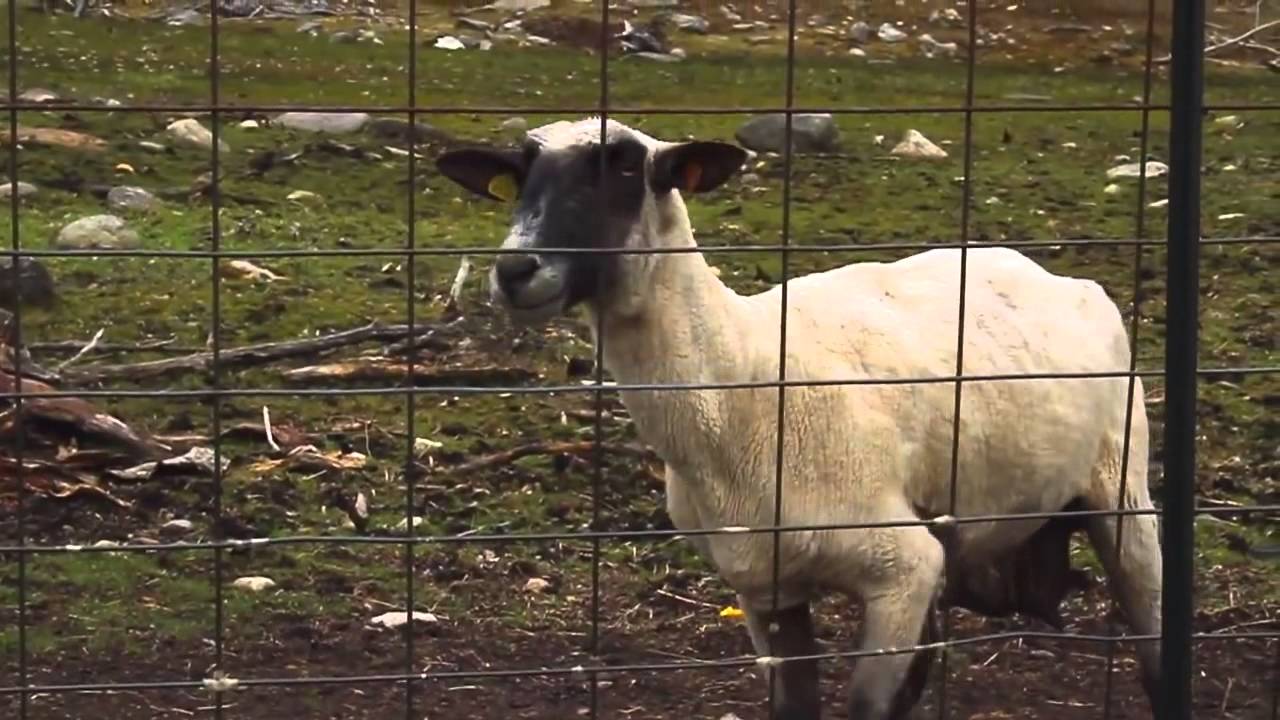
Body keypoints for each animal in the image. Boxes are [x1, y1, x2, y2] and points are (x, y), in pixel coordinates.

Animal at [435, 117, 1164, 720]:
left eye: (621, 169)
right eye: (518, 175)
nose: (515, 270)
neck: (742, 386)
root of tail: (1051, 273)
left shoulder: (901, 567)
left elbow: (867, 706)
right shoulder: (765, 587)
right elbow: (796, 705)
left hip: (1122, 485)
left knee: (1152, 631)